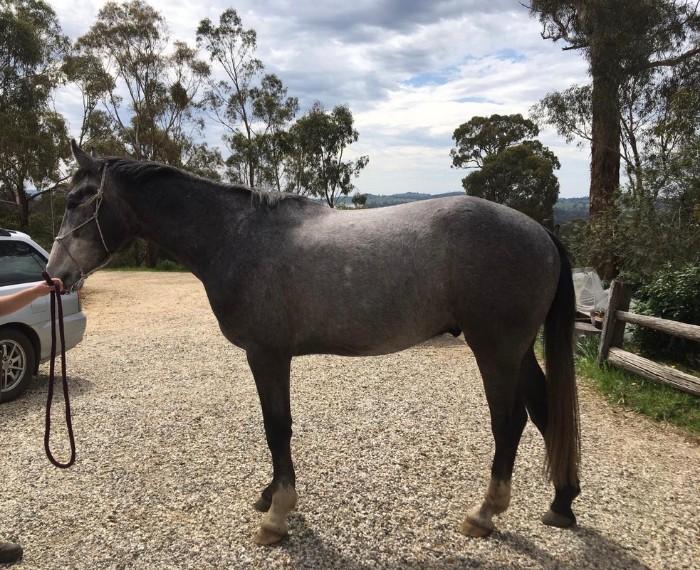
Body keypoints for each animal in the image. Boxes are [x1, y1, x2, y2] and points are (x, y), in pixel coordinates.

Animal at [47, 140, 580, 546]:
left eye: (76, 200)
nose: (55, 274)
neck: (237, 238)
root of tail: (540, 230)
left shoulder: (266, 355)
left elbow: (276, 428)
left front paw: (277, 516)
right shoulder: (270, 356)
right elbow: (277, 429)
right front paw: (269, 495)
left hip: (495, 349)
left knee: (509, 423)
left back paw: (483, 514)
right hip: (517, 351)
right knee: (543, 412)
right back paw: (562, 503)